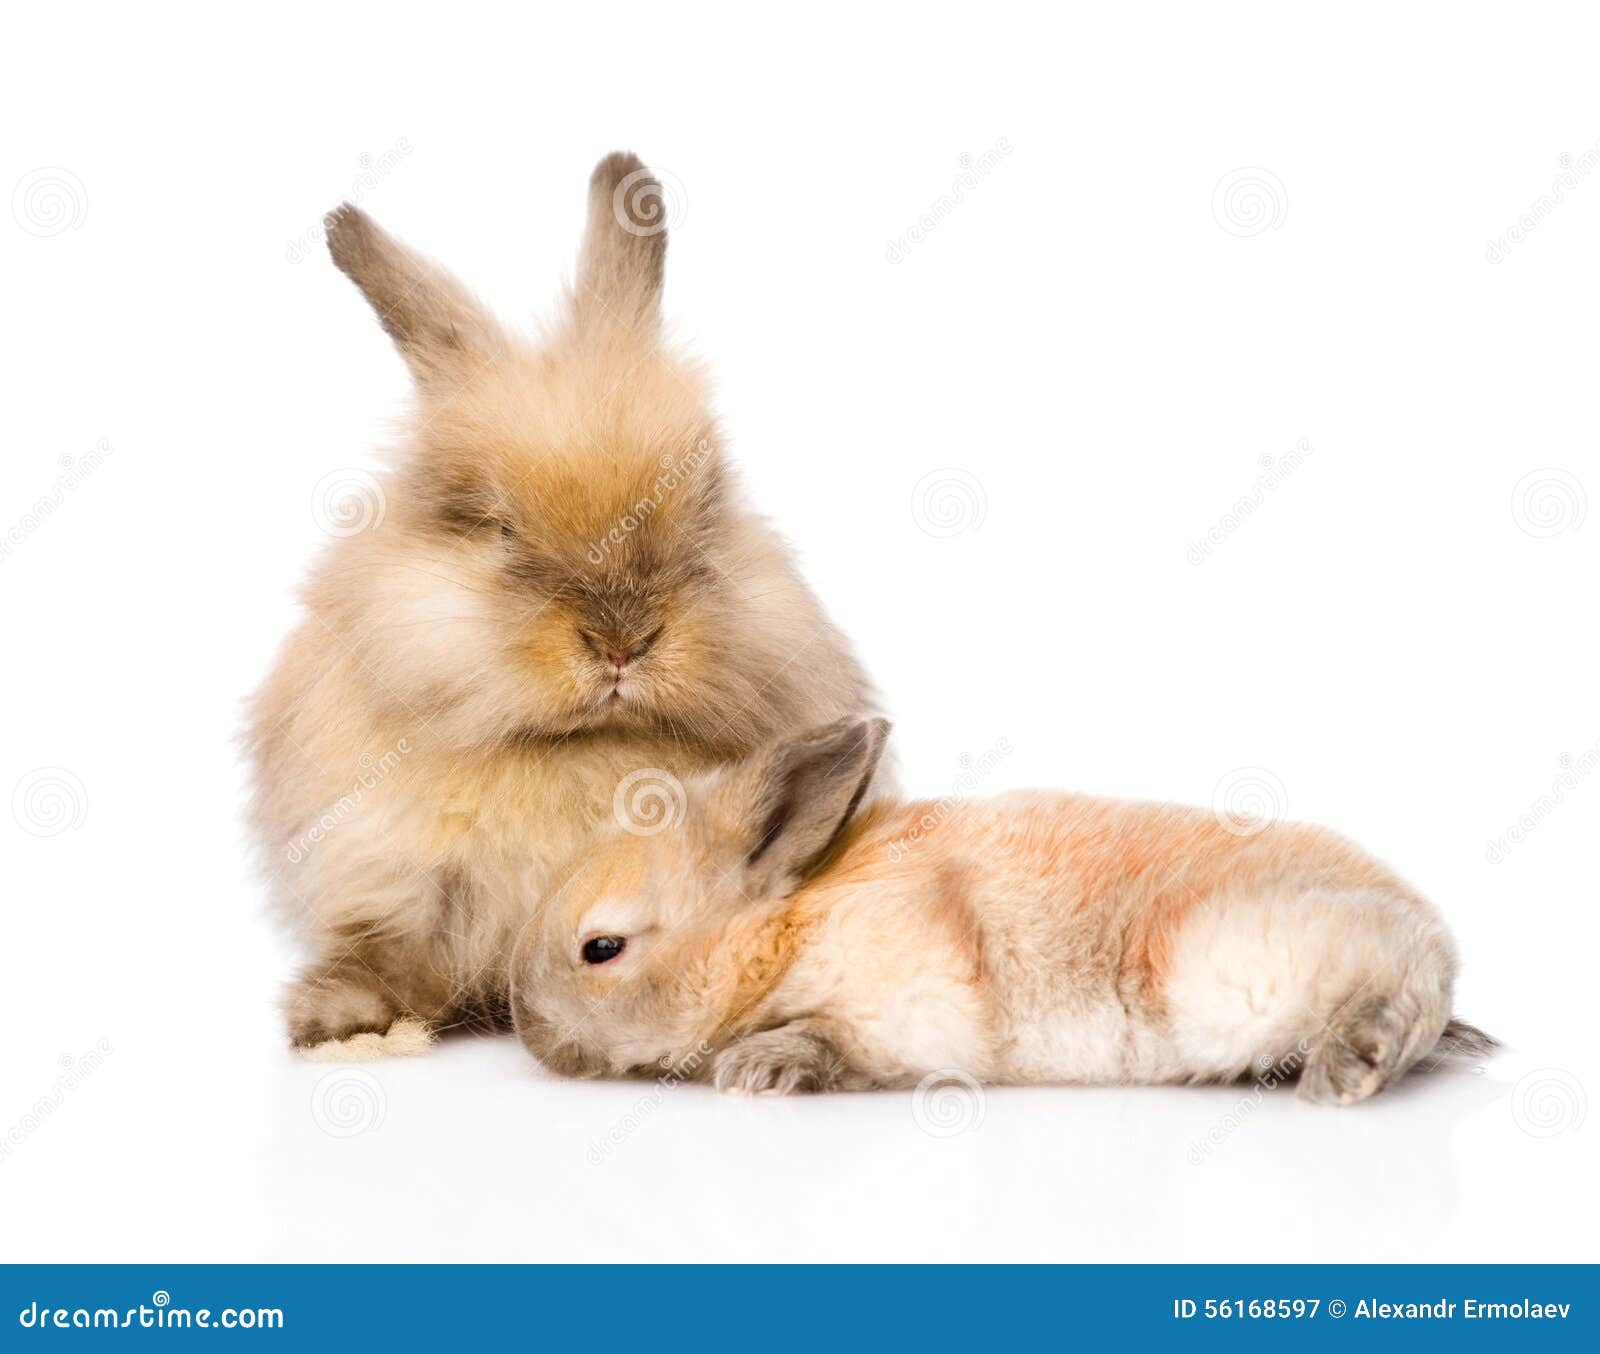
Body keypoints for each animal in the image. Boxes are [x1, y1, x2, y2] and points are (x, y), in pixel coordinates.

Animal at [246, 153, 882, 1050]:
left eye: (706, 505)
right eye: (499, 525)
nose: (623, 642)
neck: (575, 747)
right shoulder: (393, 875)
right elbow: (391, 951)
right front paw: (337, 1017)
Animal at [510, 717, 1494, 1103]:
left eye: (601, 948)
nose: (529, 1032)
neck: (788, 931)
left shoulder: (914, 1003)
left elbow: (835, 1039)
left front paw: (760, 1068)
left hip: (1245, 964)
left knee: (1402, 984)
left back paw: (1347, 1067)